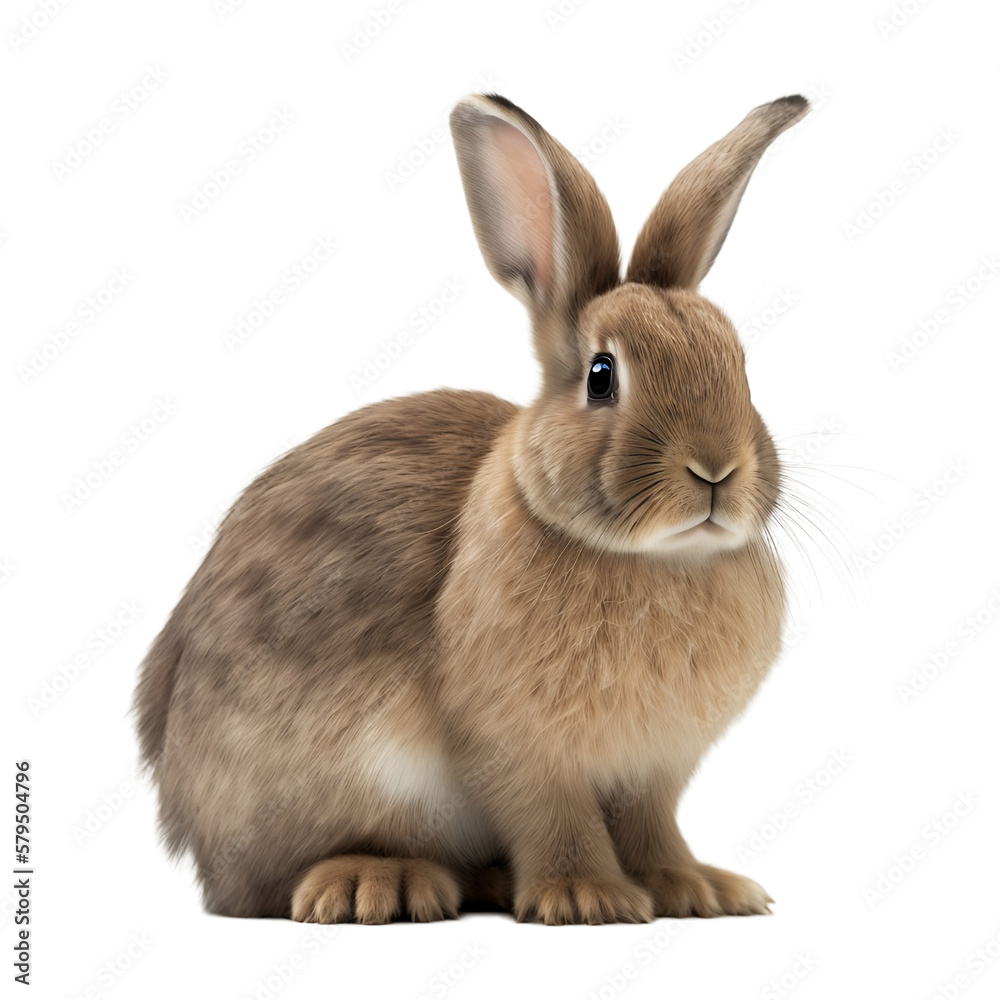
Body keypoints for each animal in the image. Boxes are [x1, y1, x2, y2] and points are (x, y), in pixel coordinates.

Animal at [134, 91, 809, 925]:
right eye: (602, 375)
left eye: (741, 364)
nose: (716, 469)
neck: (658, 558)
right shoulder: (516, 745)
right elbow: (554, 816)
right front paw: (586, 897)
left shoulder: (653, 770)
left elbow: (652, 828)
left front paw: (693, 888)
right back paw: (378, 883)